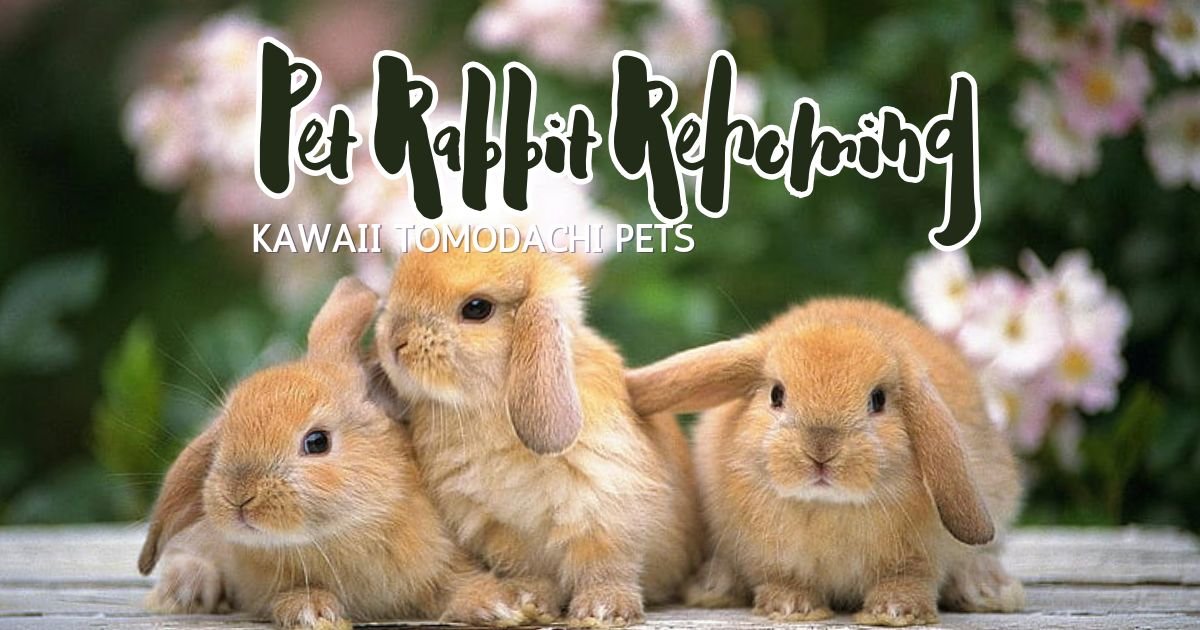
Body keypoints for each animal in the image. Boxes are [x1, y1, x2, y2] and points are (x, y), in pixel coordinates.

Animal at [138, 277, 526, 629]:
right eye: (222, 441)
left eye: (317, 442)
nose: (239, 496)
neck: (345, 534)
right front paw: (311, 611)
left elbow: (456, 586)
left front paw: (499, 606)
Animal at [373, 243, 703, 626]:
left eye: (476, 308)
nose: (394, 342)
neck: (491, 408)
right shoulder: (500, 529)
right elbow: (529, 571)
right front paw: (528, 602)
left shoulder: (605, 510)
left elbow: (606, 565)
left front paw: (603, 610)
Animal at [625, 297, 1025, 626]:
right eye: (776, 395)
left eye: (878, 400)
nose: (820, 450)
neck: (828, 506)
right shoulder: (769, 556)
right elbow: (781, 578)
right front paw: (790, 607)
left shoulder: (919, 558)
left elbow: (909, 579)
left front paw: (895, 611)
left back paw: (989, 589)